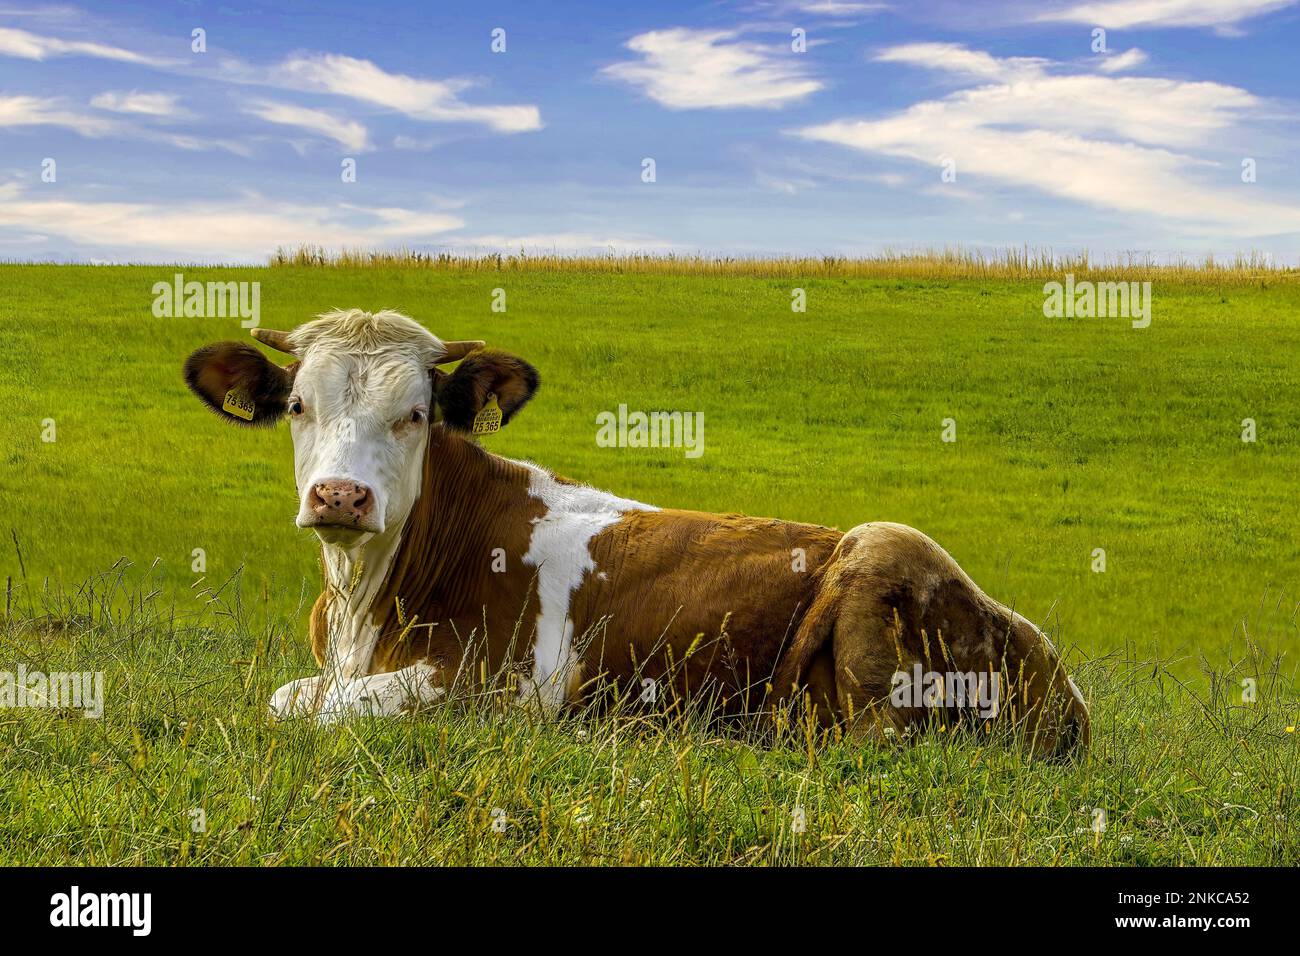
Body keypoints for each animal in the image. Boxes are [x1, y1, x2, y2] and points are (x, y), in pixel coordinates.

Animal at [183, 309, 1090, 757]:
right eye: (298, 406)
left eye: (414, 415)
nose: (341, 496)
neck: (363, 606)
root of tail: (1062, 681)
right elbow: (293, 697)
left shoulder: (493, 686)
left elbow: (320, 708)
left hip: (884, 547)